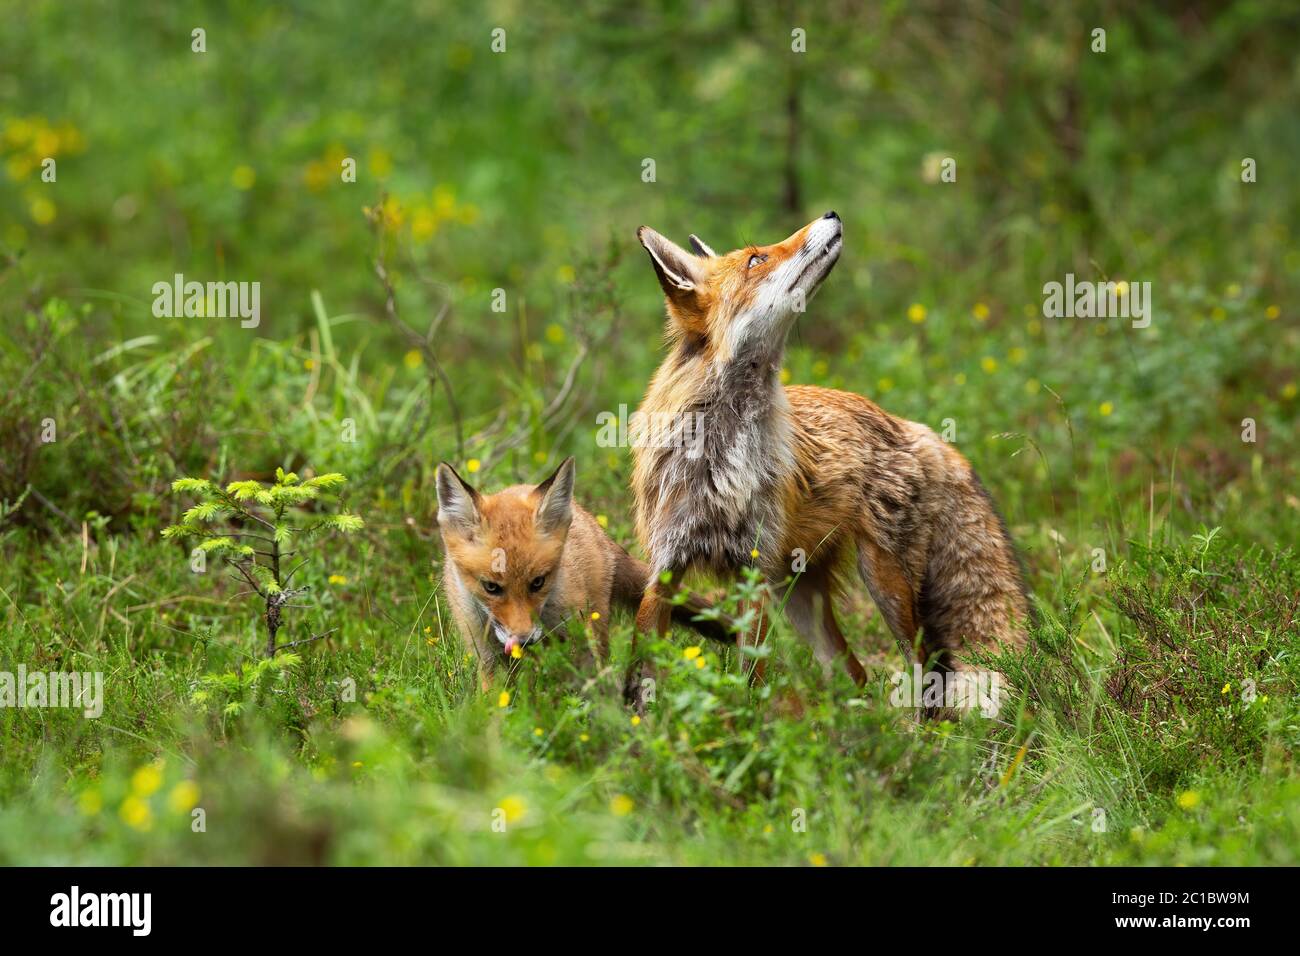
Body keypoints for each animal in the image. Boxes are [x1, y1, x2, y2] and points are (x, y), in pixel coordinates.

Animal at [435, 457, 731, 687]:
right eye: (491, 587)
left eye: (538, 582)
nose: (525, 640)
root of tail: (596, 529)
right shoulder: (487, 656)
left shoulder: (575, 640)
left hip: (596, 623)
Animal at [630, 212, 1031, 692]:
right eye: (756, 259)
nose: (830, 215)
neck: (721, 456)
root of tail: (912, 427)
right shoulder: (665, 565)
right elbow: (640, 677)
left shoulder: (753, 570)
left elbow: (751, 680)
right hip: (800, 595)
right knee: (856, 672)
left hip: (884, 583)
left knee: (923, 669)